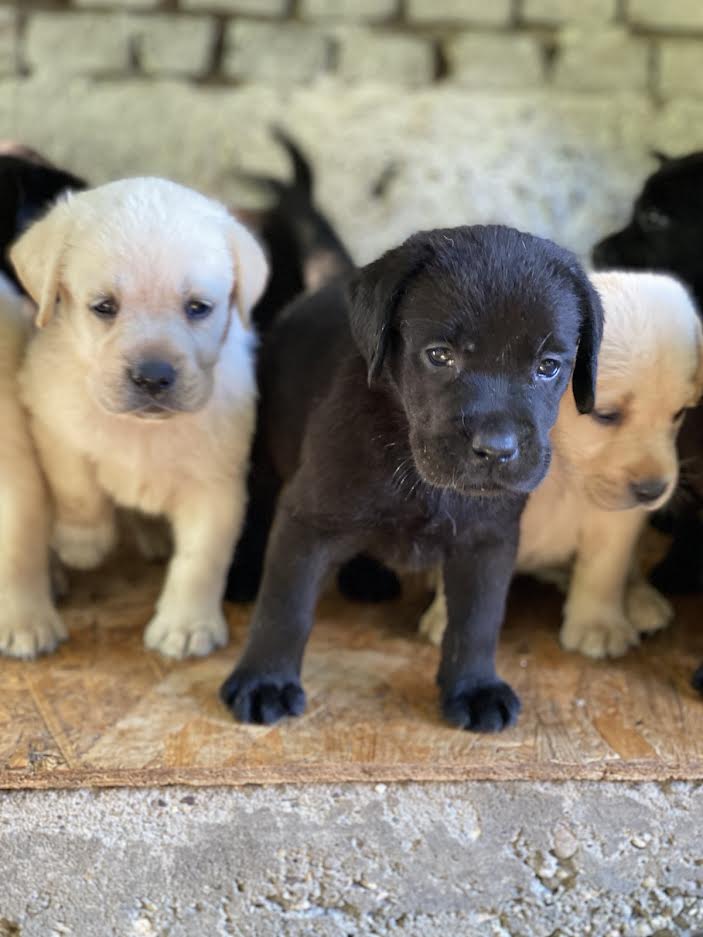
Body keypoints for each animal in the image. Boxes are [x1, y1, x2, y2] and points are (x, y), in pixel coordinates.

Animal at [11, 177, 270, 660]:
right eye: (104, 307)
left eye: (198, 307)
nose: (153, 376)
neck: (144, 429)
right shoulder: (53, 422)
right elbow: (77, 486)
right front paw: (84, 541)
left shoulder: (216, 484)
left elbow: (201, 558)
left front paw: (186, 625)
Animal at [221, 227, 604, 732]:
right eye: (439, 356)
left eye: (548, 366)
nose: (497, 448)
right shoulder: (309, 521)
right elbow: (285, 606)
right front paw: (264, 680)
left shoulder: (487, 539)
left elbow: (477, 618)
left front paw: (474, 687)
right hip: (265, 459)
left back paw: (367, 577)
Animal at [420, 270, 703, 660]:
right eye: (605, 415)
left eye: (678, 415)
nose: (654, 490)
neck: (559, 473)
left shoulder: (614, 522)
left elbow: (604, 569)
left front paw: (598, 624)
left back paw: (641, 599)